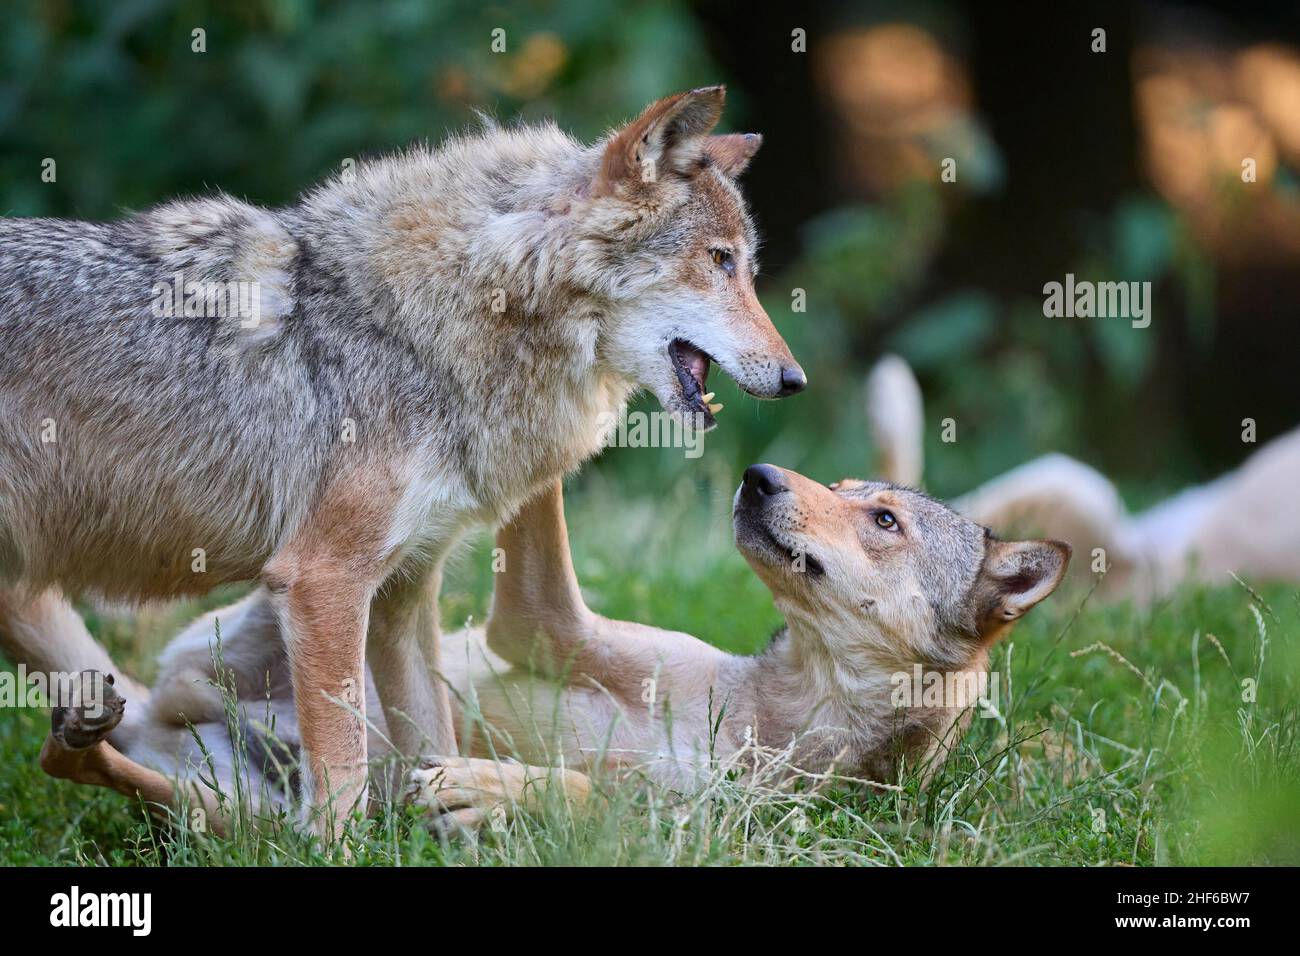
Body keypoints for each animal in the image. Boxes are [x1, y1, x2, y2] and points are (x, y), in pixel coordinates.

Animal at [0, 89, 806, 837]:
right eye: (721, 262)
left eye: (748, 267)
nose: (795, 380)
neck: (429, 325)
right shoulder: (323, 579)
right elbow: (343, 777)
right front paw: (337, 846)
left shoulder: (403, 593)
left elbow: (430, 743)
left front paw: (457, 814)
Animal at [27, 470, 1066, 837]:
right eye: (844, 488)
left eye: (884, 518)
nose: (757, 474)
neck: (771, 719)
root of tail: (164, 718)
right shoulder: (541, 630)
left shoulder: (711, 829)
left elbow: (587, 792)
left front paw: (485, 789)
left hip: (243, 817)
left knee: (83, 765)